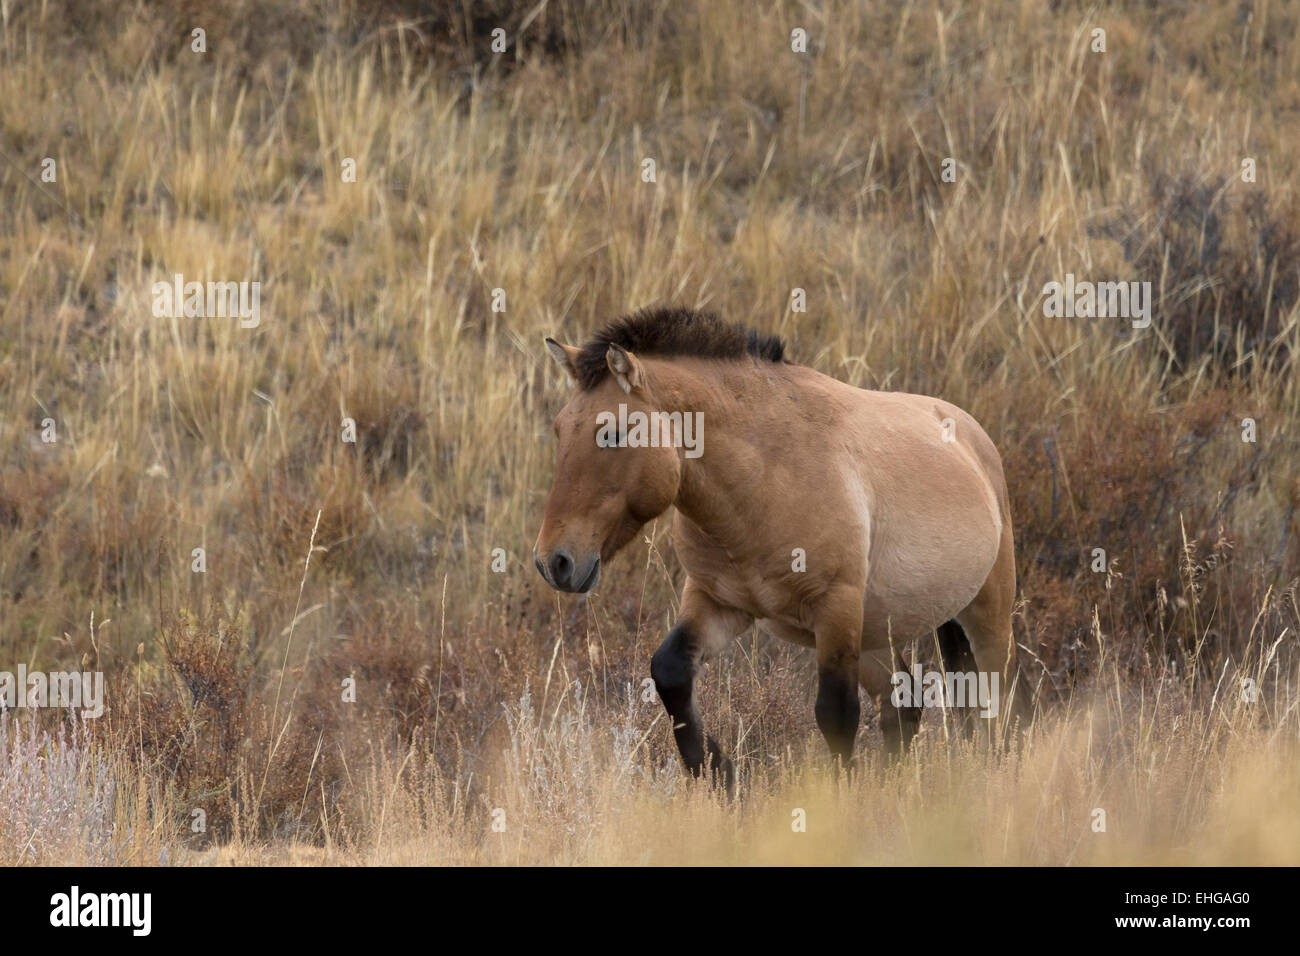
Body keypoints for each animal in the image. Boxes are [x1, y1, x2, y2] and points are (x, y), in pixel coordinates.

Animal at [533, 307, 1028, 785]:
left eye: (613, 432)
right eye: (559, 430)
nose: (554, 562)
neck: (766, 476)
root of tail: (973, 437)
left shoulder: (835, 609)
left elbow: (836, 714)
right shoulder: (718, 602)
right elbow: (669, 673)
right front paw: (720, 775)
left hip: (984, 613)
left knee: (998, 705)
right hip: (874, 634)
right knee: (902, 706)